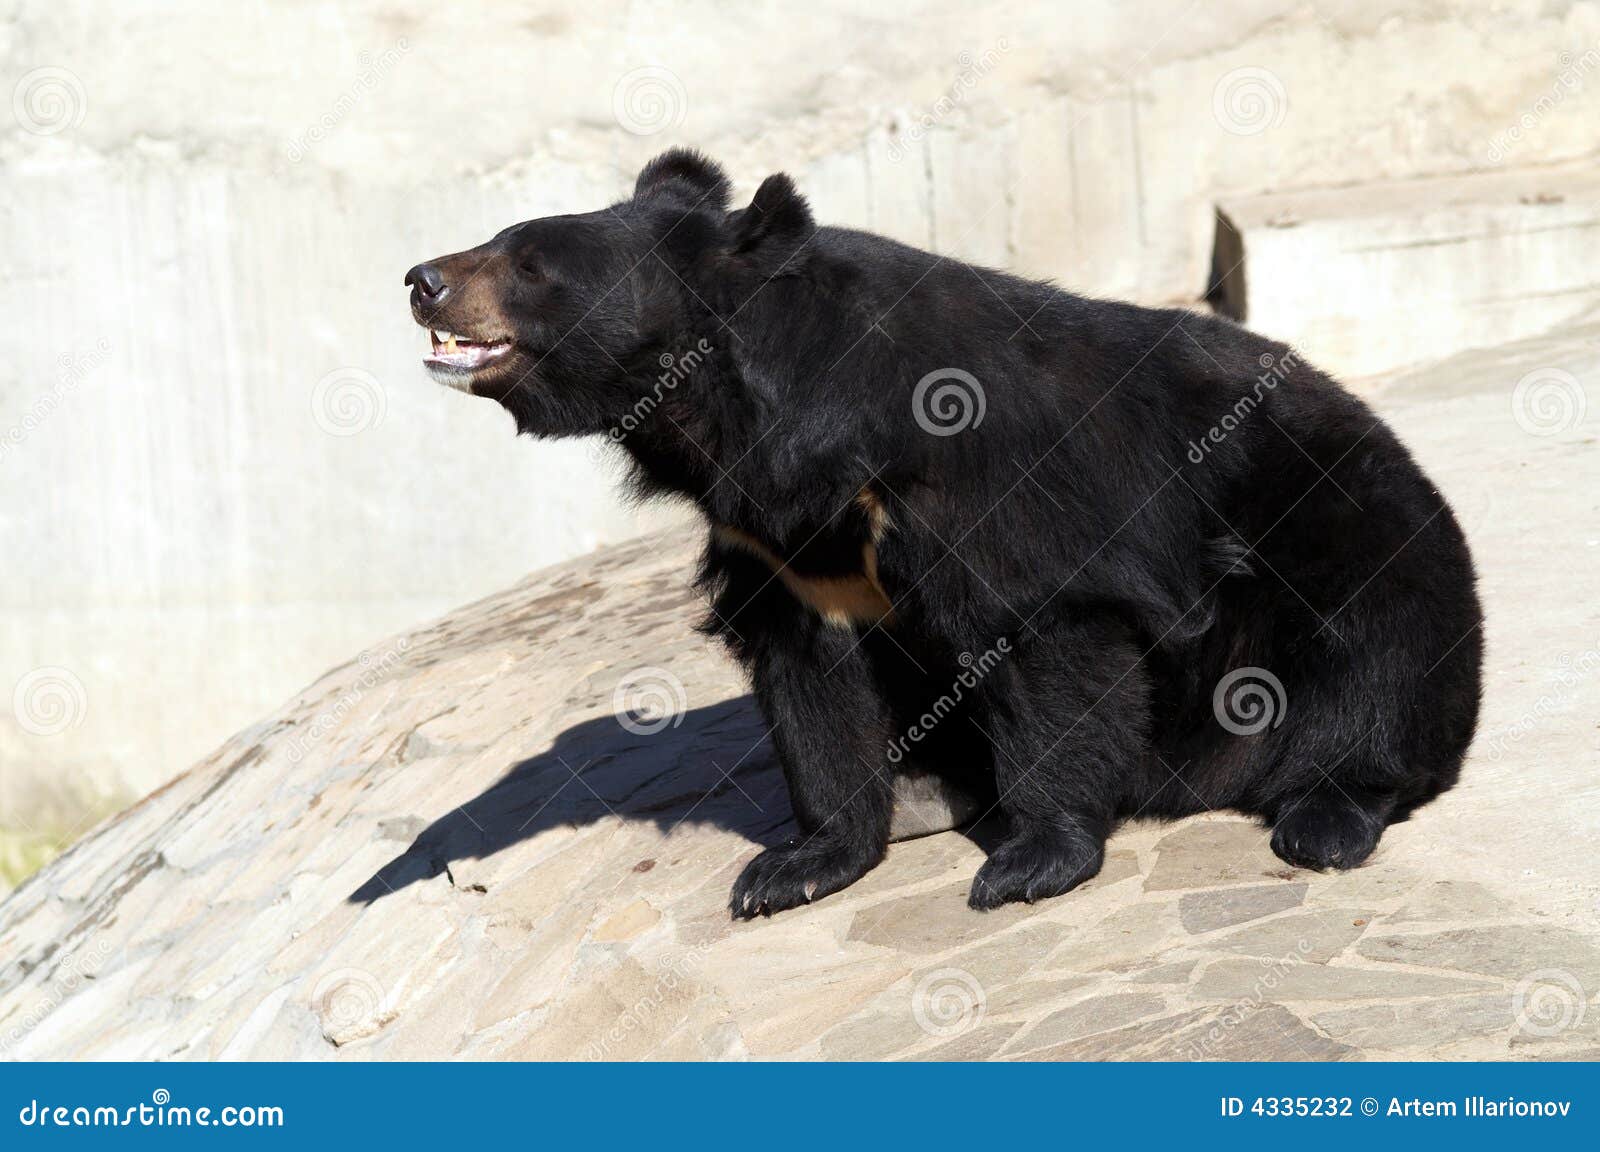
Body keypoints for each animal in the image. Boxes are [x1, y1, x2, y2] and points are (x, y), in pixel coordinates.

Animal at [403, 148, 1482, 918]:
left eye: (530, 263)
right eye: (497, 240)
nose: (418, 279)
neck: (743, 423)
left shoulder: (981, 473)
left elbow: (1047, 629)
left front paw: (1030, 863)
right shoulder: (778, 544)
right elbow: (810, 677)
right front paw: (794, 867)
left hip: (1352, 532)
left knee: (1376, 663)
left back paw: (1324, 816)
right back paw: (931, 793)